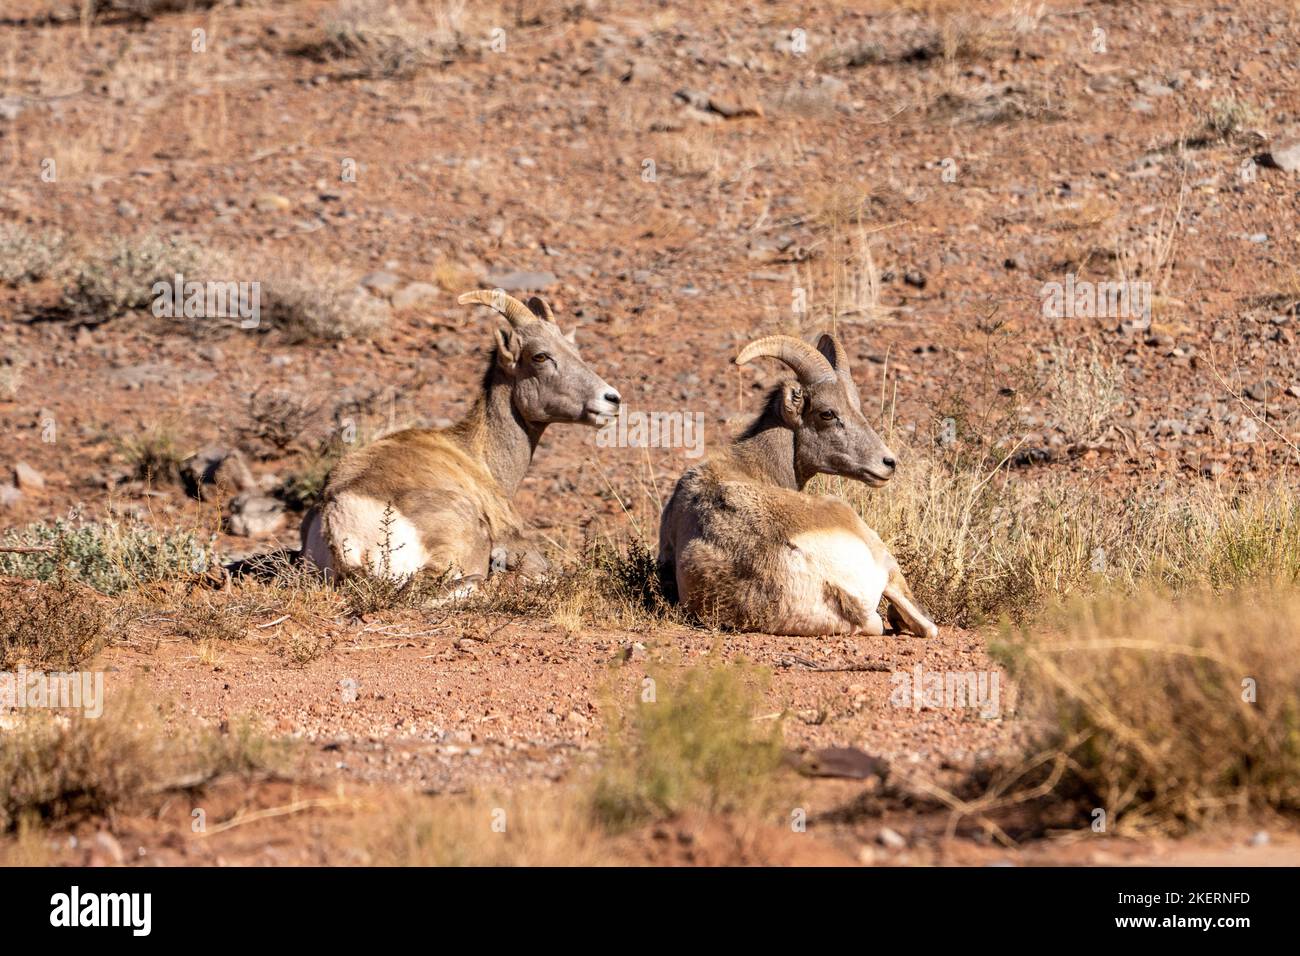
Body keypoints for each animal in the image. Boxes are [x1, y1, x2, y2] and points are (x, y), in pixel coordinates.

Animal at [301, 289, 621, 590]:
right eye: (540, 356)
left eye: (574, 351)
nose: (612, 399)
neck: (479, 456)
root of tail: (336, 523)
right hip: (465, 542)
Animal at [657, 333, 937, 638]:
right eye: (827, 413)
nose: (888, 463)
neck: (750, 464)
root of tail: (830, 578)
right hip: (871, 542)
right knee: (925, 624)